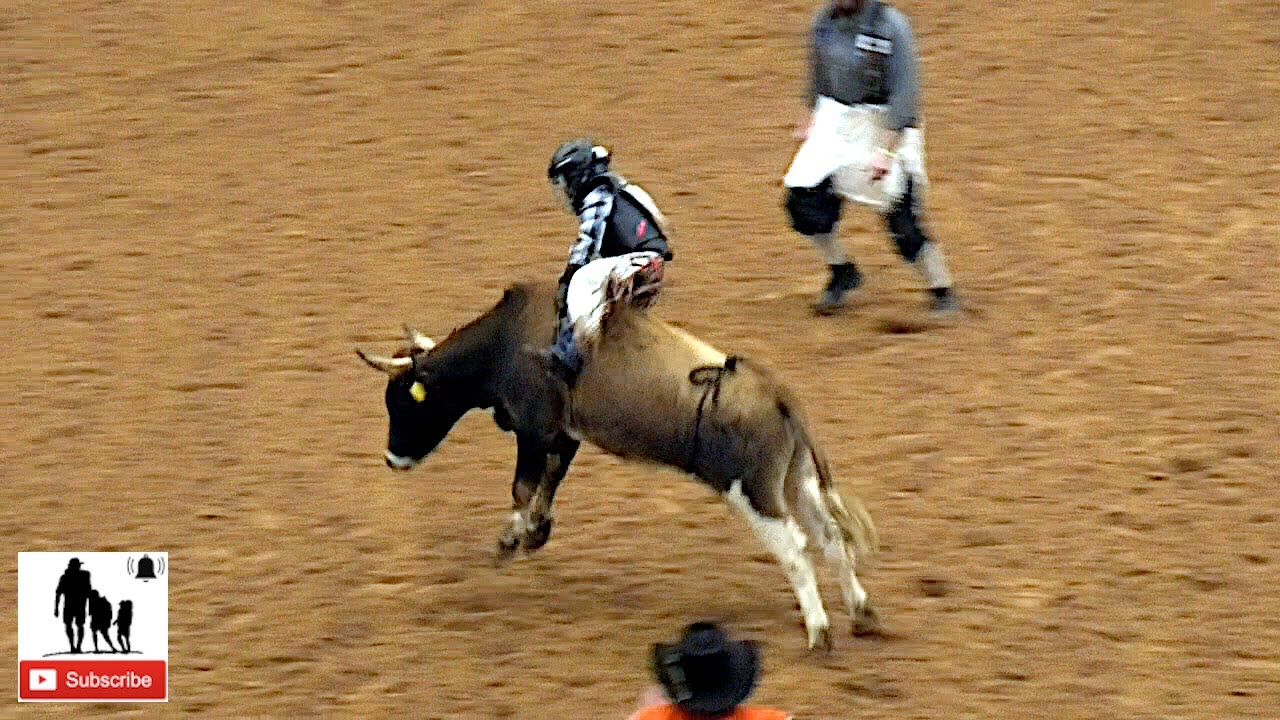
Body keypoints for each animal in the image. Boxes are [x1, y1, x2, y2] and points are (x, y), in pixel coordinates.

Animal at [355, 281, 881, 649]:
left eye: (404, 403)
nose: (391, 459)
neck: (508, 341)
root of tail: (778, 394)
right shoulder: (564, 433)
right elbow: (550, 481)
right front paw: (535, 533)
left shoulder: (535, 429)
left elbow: (523, 486)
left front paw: (510, 540)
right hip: (796, 480)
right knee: (830, 537)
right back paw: (861, 613)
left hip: (753, 492)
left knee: (795, 549)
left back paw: (819, 631)